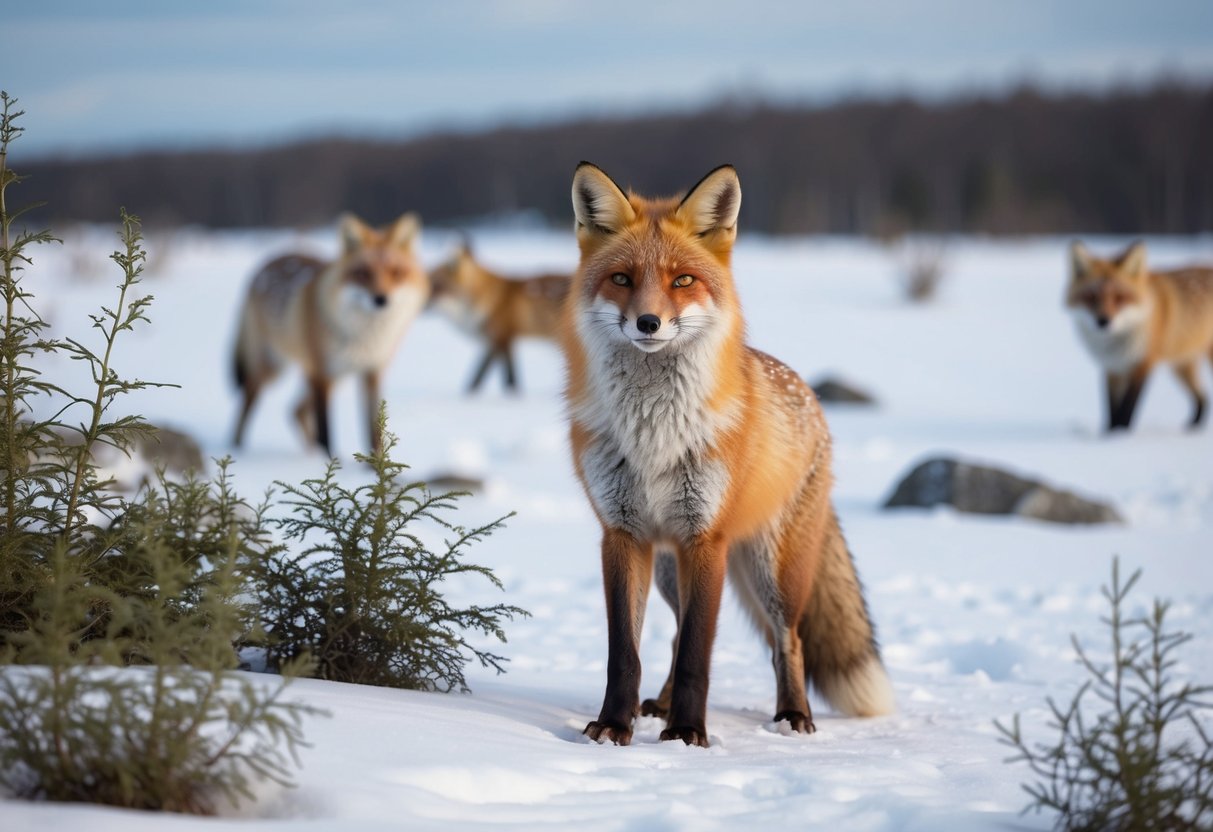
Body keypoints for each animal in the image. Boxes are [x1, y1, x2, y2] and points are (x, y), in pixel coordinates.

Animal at [232, 213, 429, 456]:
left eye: (396, 273)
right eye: (363, 273)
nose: (381, 299)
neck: (365, 339)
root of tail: (267, 262)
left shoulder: (372, 372)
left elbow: (372, 432)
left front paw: (375, 463)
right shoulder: (321, 374)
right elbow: (325, 432)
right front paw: (330, 461)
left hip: (331, 377)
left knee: (295, 410)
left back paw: (307, 452)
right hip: (274, 368)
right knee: (247, 402)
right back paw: (237, 448)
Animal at [428, 240, 571, 392]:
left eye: (435, 286)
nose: (420, 301)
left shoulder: (504, 338)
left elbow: (509, 378)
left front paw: (511, 395)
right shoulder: (492, 342)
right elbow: (477, 378)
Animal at [563, 162, 894, 748]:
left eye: (682, 280)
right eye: (622, 279)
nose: (648, 323)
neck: (653, 434)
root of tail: (810, 397)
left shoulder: (706, 539)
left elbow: (699, 654)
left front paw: (688, 732)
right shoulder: (622, 534)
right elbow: (626, 653)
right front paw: (614, 726)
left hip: (774, 569)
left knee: (789, 642)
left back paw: (793, 715)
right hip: (669, 568)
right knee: (674, 636)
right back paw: (659, 705)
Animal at [1067, 240, 1213, 431]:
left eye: (1120, 297)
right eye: (1091, 296)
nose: (1104, 321)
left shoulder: (1143, 363)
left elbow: (1127, 408)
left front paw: (1121, 434)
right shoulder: (1112, 367)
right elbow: (1111, 409)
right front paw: (1110, 434)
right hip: (1182, 366)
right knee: (1202, 398)